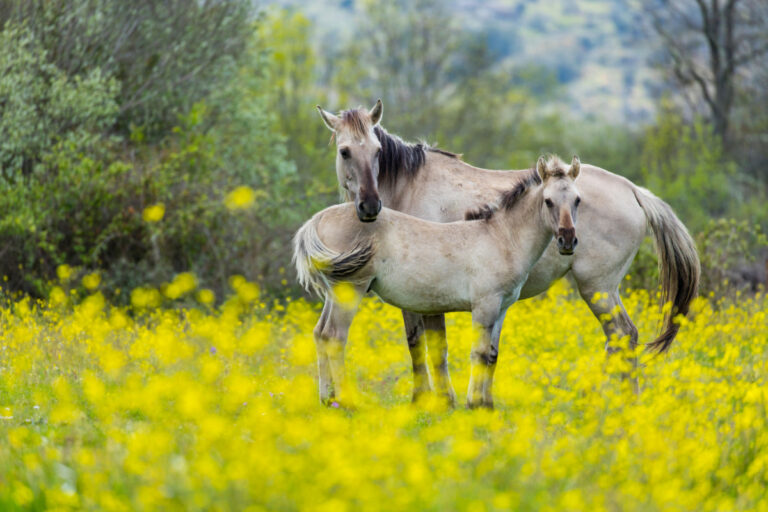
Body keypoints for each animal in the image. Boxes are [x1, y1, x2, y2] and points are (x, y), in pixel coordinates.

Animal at [295, 156, 582, 409]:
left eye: (577, 200)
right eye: (548, 201)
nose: (568, 240)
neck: (501, 237)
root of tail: (317, 219)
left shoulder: (501, 308)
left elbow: (491, 354)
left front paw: (487, 406)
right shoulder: (485, 305)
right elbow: (478, 353)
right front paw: (473, 404)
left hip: (333, 294)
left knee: (320, 333)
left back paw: (327, 399)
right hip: (350, 290)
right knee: (335, 336)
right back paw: (346, 401)